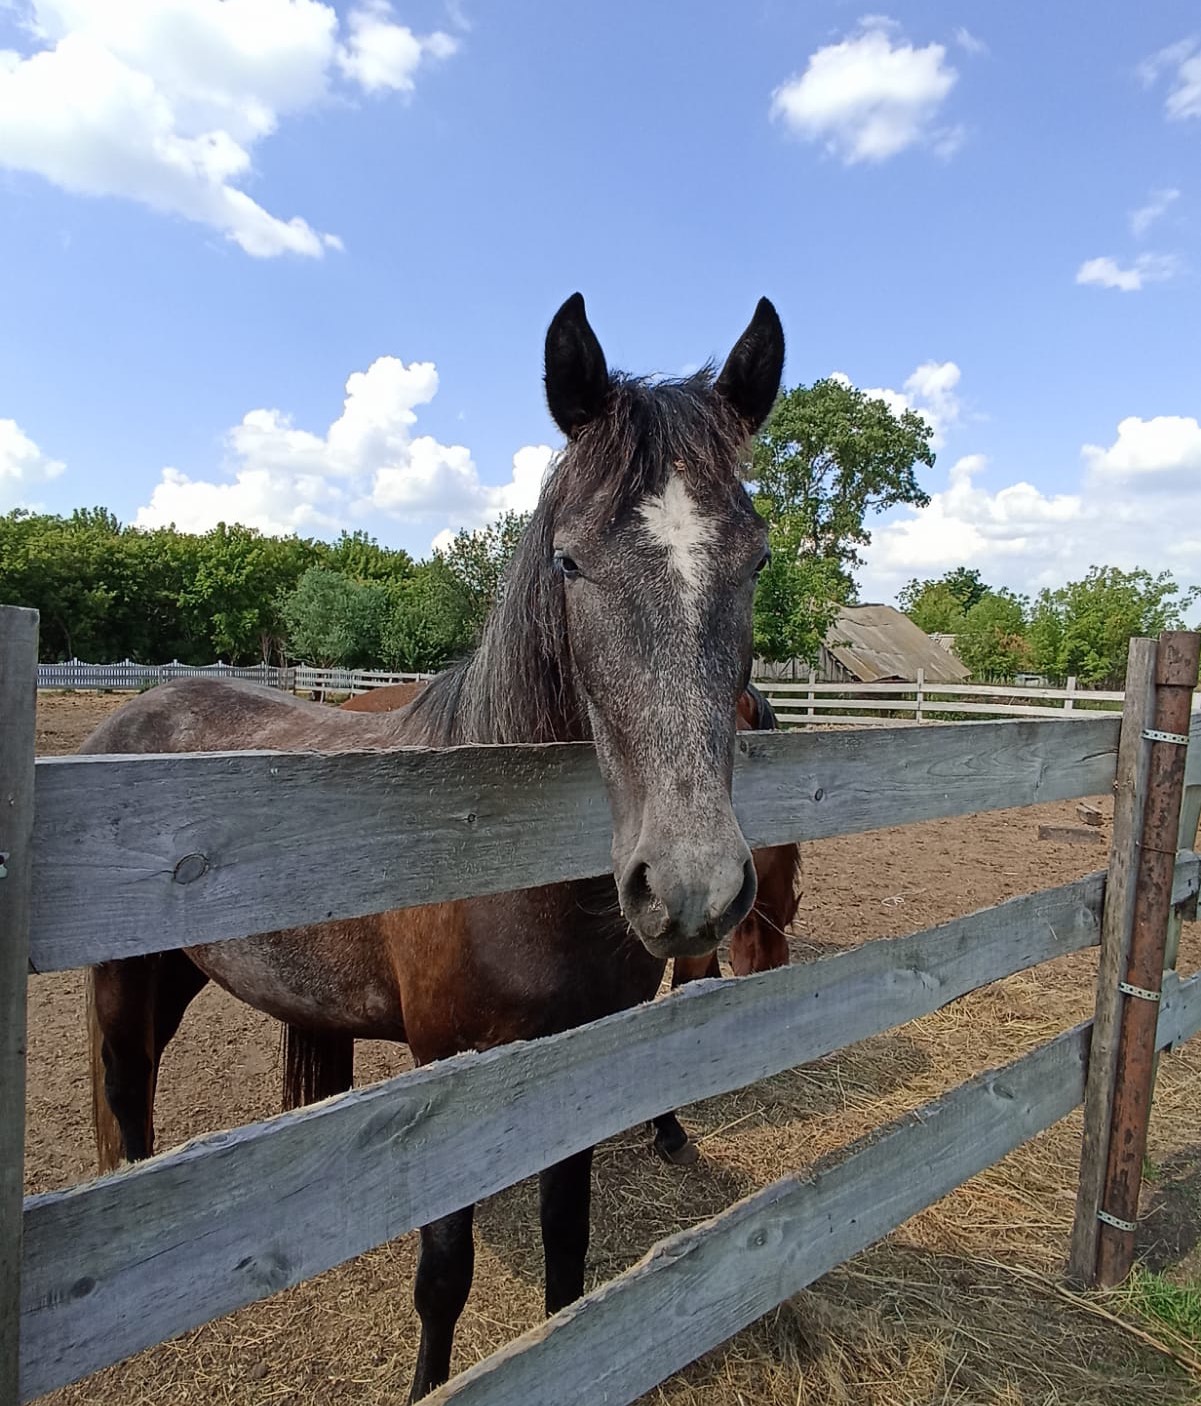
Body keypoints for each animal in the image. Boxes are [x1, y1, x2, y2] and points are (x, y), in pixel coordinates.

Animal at [79, 291, 787, 1400]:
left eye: (754, 558)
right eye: (569, 559)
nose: (689, 888)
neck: (511, 877)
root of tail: (135, 712)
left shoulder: (580, 1058)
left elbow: (567, 1240)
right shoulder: (450, 1073)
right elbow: (444, 1273)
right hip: (128, 981)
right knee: (127, 1090)